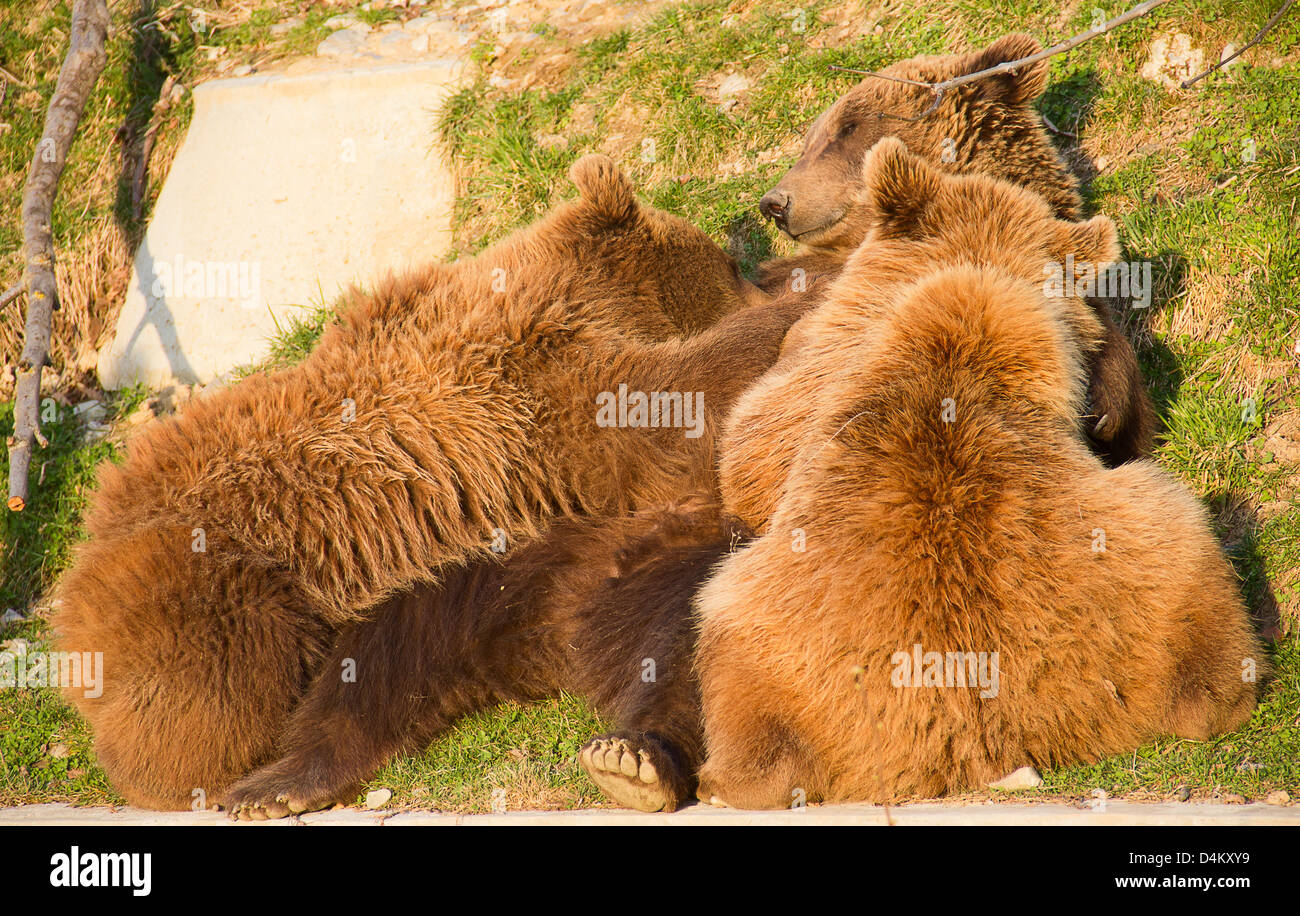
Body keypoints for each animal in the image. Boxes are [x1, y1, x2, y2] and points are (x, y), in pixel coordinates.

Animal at [52, 154, 804, 810]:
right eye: (724, 263)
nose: (758, 274)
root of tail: (72, 593)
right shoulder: (529, 391)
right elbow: (668, 413)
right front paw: (782, 319)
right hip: (213, 578)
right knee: (218, 694)